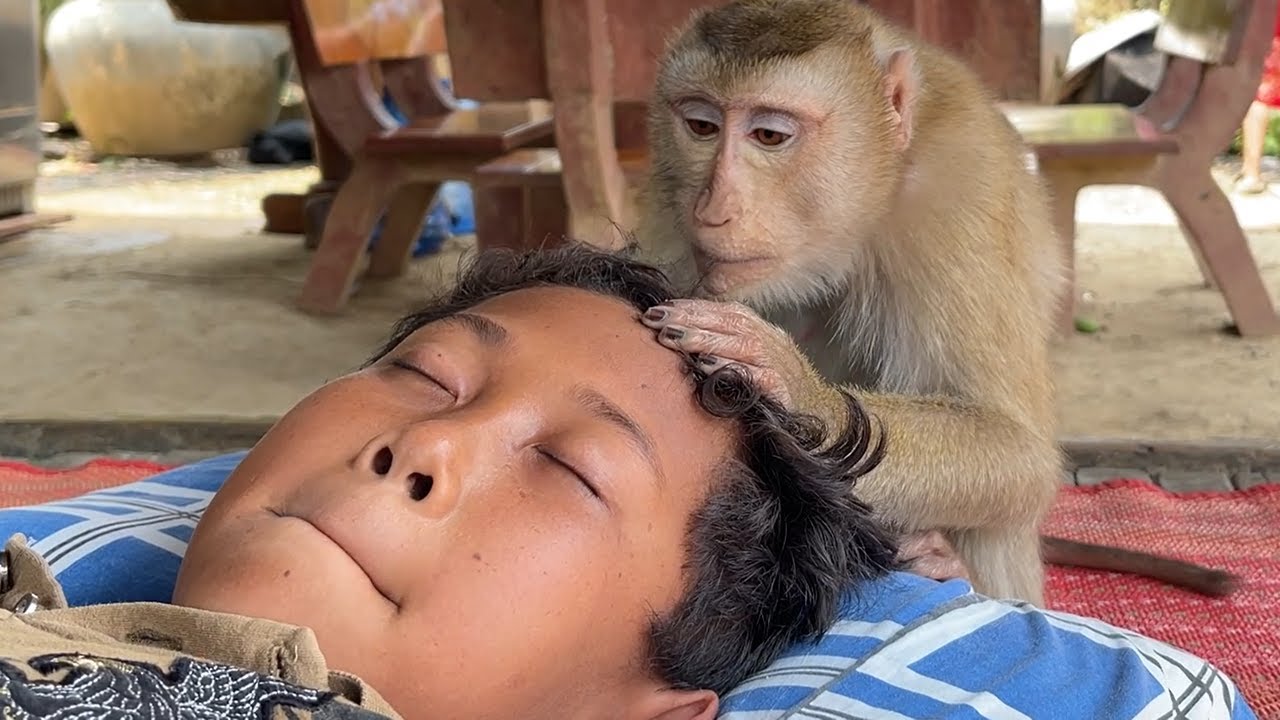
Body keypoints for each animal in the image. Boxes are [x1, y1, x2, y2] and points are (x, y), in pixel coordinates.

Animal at [634, 0, 1238, 602]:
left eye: (769, 135)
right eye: (702, 126)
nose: (713, 209)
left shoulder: (956, 200)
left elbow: (1017, 452)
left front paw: (796, 387)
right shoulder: (666, 205)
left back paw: (953, 568)